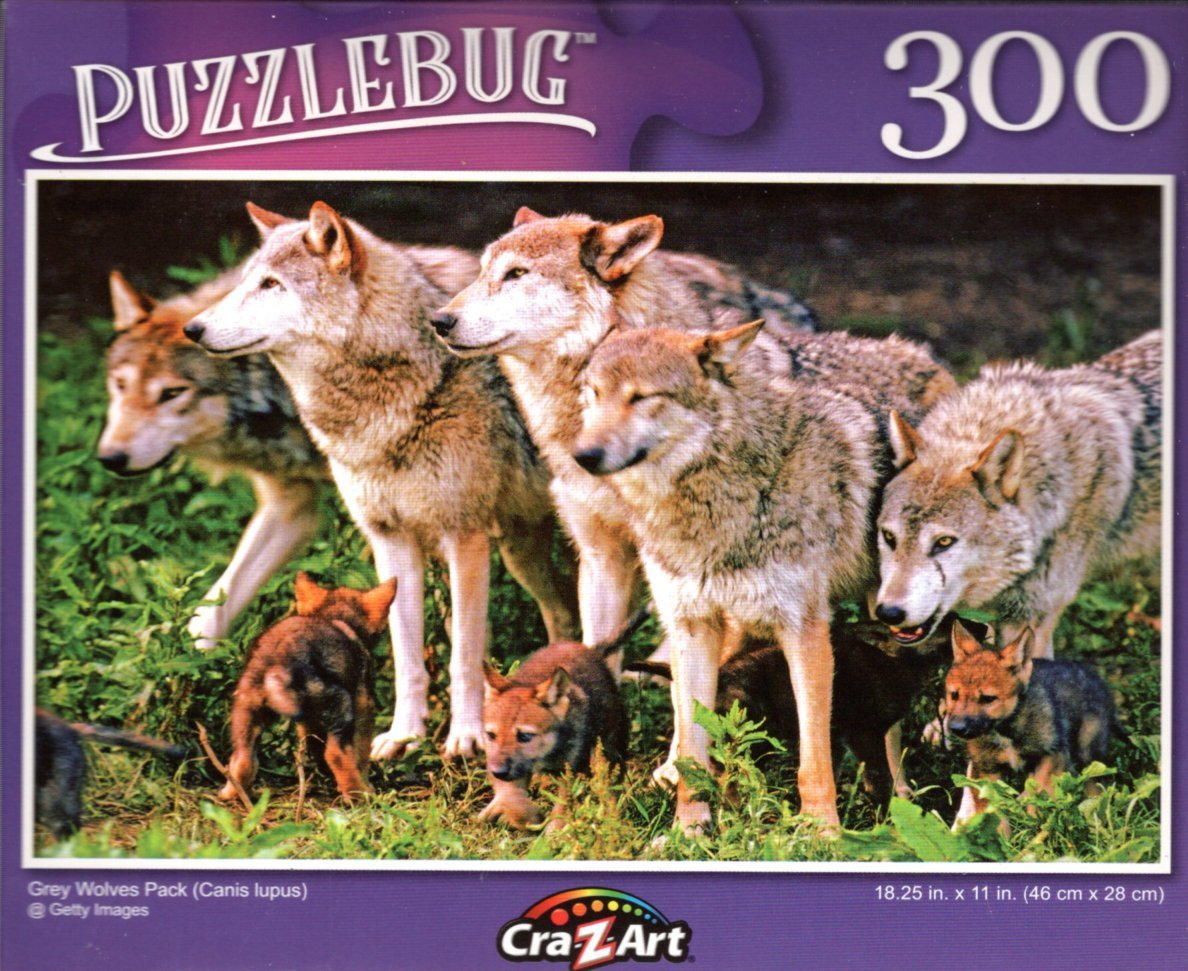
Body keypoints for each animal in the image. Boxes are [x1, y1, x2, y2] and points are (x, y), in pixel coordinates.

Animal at [184, 202, 579, 761]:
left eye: (271, 284)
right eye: (245, 282)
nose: (192, 329)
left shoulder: (464, 538)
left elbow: (463, 655)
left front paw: (465, 738)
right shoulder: (390, 540)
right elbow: (406, 652)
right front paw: (406, 736)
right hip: (521, 553)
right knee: (564, 615)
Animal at [221, 573, 397, 803]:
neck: (336, 617)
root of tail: (282, 658)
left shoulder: (307, 721)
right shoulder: (363, 706)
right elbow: (361, 754)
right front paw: (366, 785)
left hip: (246, 715)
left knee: (242, 759)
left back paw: (233, 794)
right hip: (341, 708)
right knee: (336, 755)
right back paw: (359, 796)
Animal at [478, 608, 645, 829]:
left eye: (525, 736)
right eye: (491, 735)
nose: (497, 771)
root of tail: (590, 651)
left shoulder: (569, 773)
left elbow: (560, 812)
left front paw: (550, 833)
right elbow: (512, 797)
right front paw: (524, 817)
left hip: (608, 753)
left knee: (610, 790)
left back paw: (614, 822)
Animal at [573, 320, 953, 830]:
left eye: (641, 397)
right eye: (593, 394)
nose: (582, 455)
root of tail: (924, 354)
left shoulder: (805, 630)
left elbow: (814, 759)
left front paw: (822, 832)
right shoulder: (691, 626)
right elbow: (694, 746)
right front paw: (687, 830)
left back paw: (906, 798)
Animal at [942, 621, 1118, 828]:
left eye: (988, 699)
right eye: (954, 695)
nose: (957, 728)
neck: (1004, 732)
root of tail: (1095, 677)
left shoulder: (1053, 755)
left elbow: (1039, 796)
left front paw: (1036, 827)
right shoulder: (986, 770)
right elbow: (995, 814)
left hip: (1088, 753)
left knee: (1095, 789)